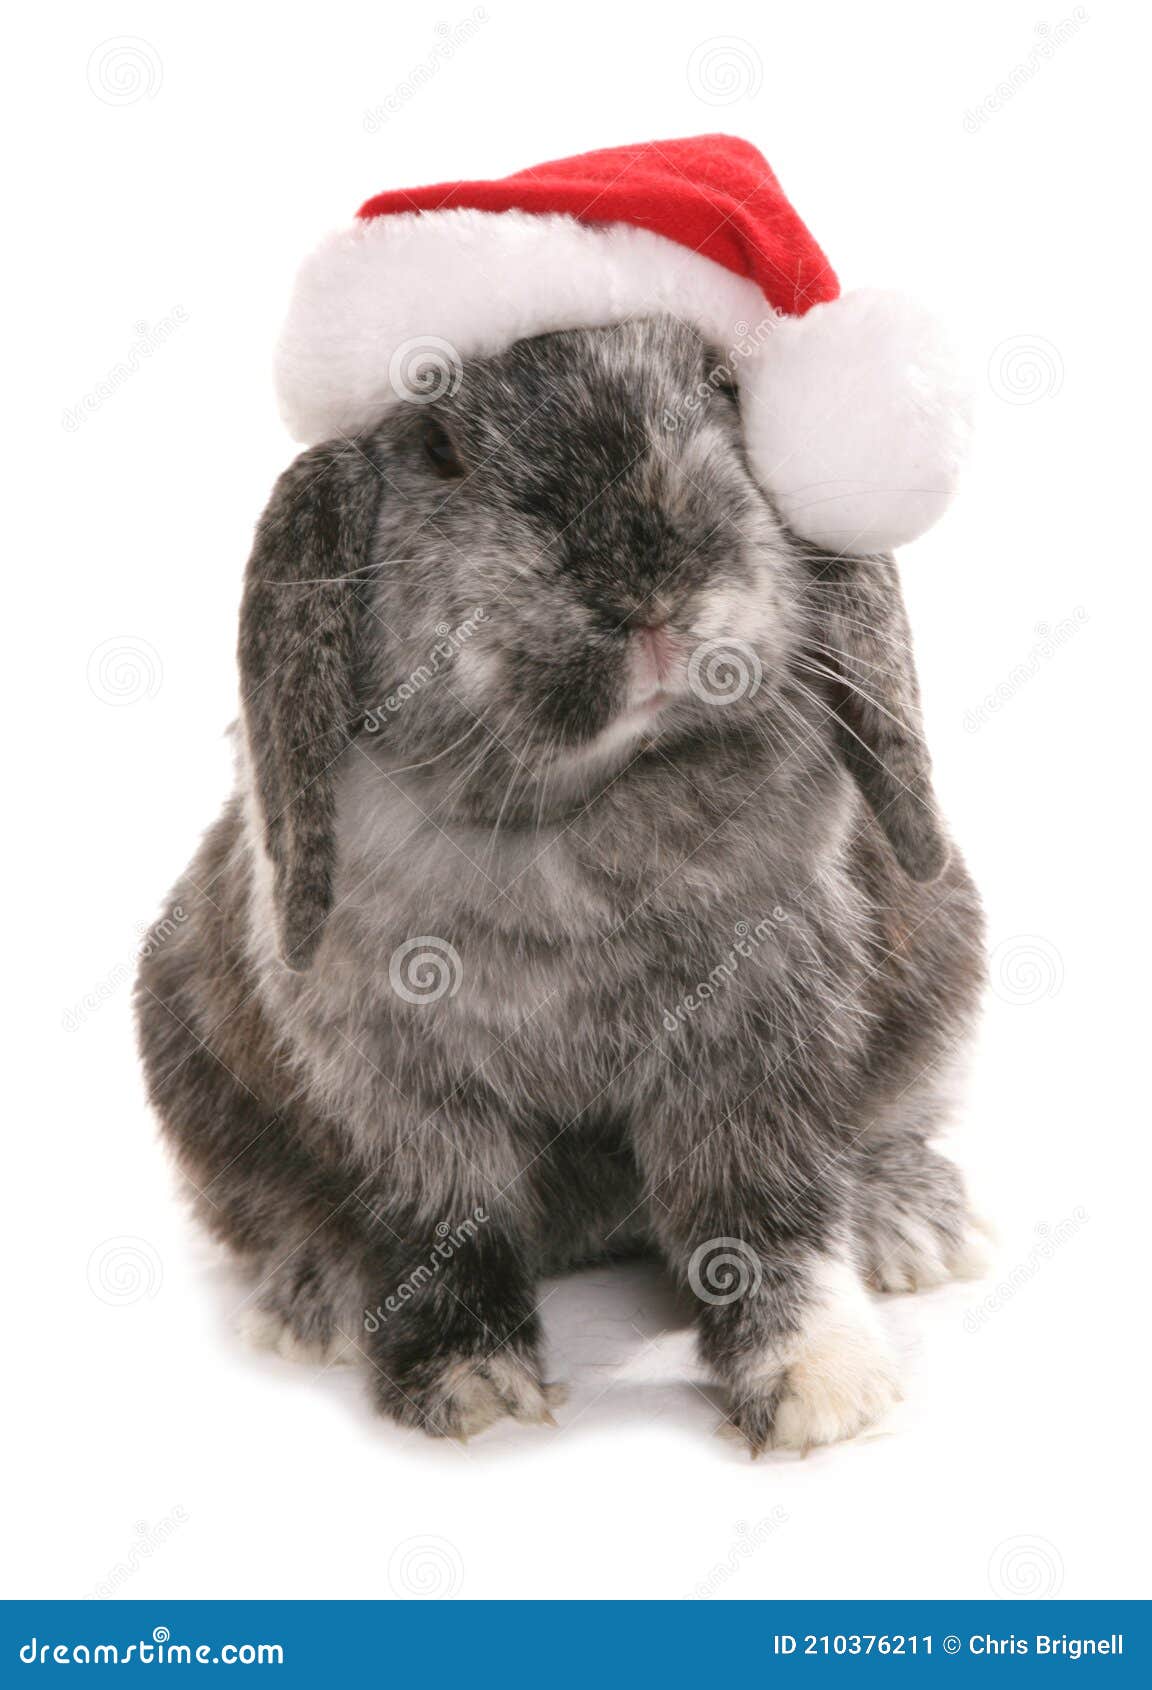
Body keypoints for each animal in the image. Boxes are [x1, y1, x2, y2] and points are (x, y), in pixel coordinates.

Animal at [136, 314, 986, 1453]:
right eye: (440, 448)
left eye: (721, 386)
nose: (650, 589)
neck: (571, 813)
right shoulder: (396, 1086)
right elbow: (437, 1226)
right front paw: (472, 1387)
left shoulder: (754, 1038)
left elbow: (757, 1210)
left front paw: (823, 1383)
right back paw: (310, 1296)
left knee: (894, 1121)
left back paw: (909, 1221)